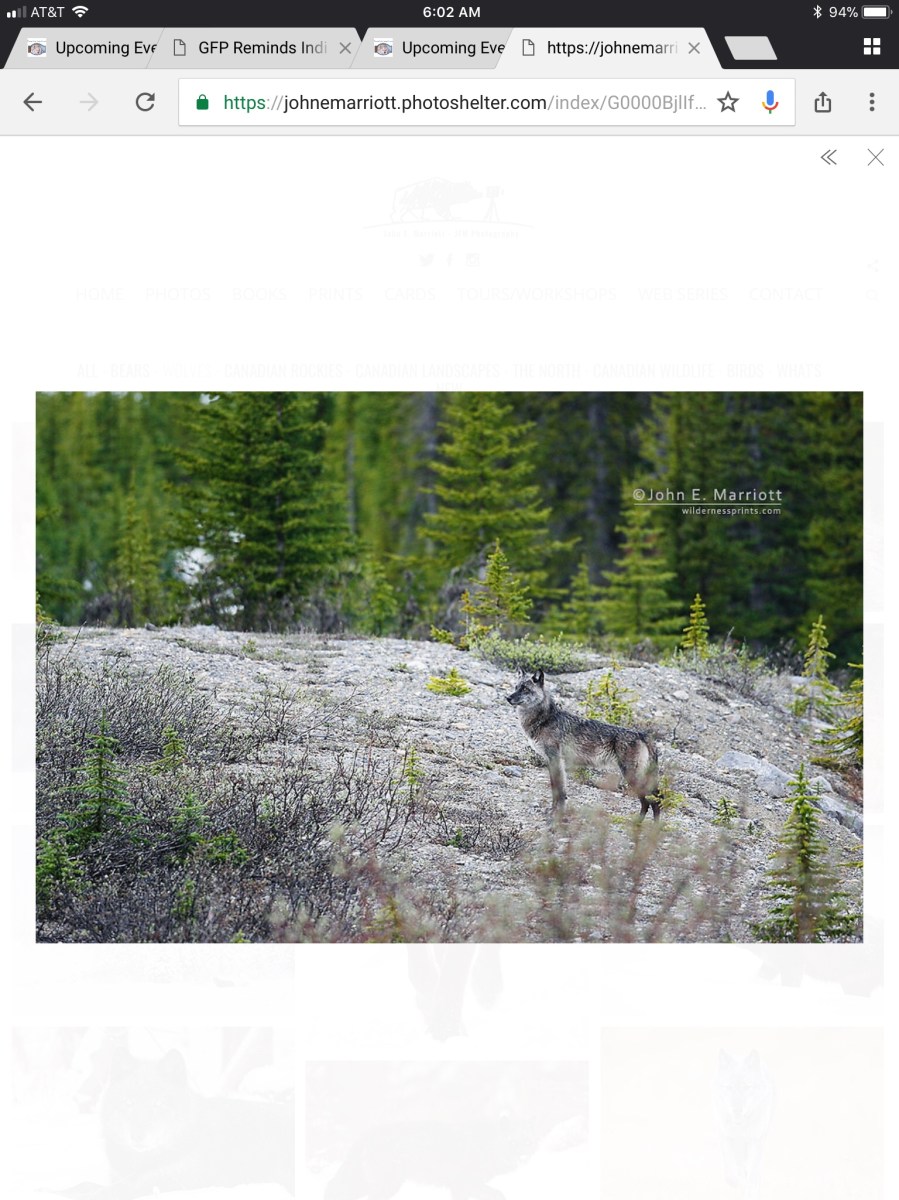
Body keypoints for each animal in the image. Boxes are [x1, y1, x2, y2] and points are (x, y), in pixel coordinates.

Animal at [506, 669, 661, 819]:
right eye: (516, 687)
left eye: (525, 689)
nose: (508, 698)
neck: (545, 719)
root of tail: (642, 734)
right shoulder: (551, 761)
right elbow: (555, 789)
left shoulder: (556, 760)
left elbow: (559, 791)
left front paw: (555, 814)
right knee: (654, 800)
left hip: (631, 776)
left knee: (650, 802)